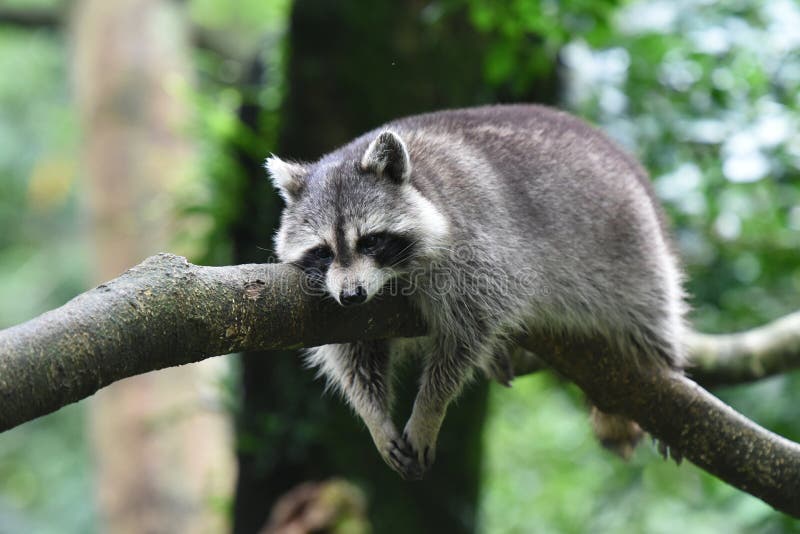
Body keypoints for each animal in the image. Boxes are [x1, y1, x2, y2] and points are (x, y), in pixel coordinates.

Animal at [267, 104, 687, 480]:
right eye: (323, 251)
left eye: (371, 241)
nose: (352, 296)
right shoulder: (348, 310)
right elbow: (353, 357)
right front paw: (374, 416)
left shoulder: (478, 251)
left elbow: (467, 334)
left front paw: (430, 407)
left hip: (634, 250)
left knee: (651, 314)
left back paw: (665, 365)